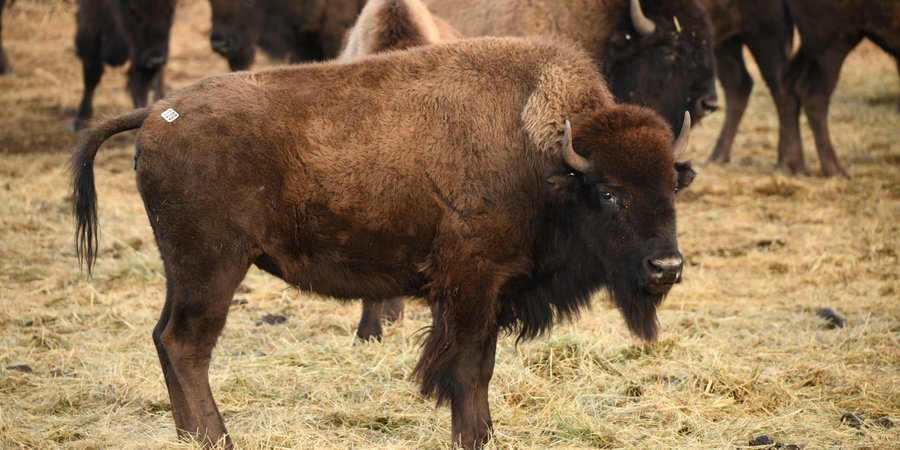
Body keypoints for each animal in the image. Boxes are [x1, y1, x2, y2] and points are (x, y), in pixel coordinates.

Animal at [72, 37, 695, 448]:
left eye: (671, 184)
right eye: (609, 192)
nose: (666, 267)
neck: (546, 159)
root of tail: (157, 112)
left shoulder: (490, 295)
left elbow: (482, 366)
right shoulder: (471, 284)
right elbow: (468, 368)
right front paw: (471, 437)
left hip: (182, 269)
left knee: (165, 337)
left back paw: (192, 436)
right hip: (212, 267)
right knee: (188, 343)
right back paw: (218, 437)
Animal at [73, 0, 177, 131]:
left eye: (171, 11)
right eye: (131, 11)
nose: (155, 59)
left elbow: (139, 84)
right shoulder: (91, 22)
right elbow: (92, 74)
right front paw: (80, 121)